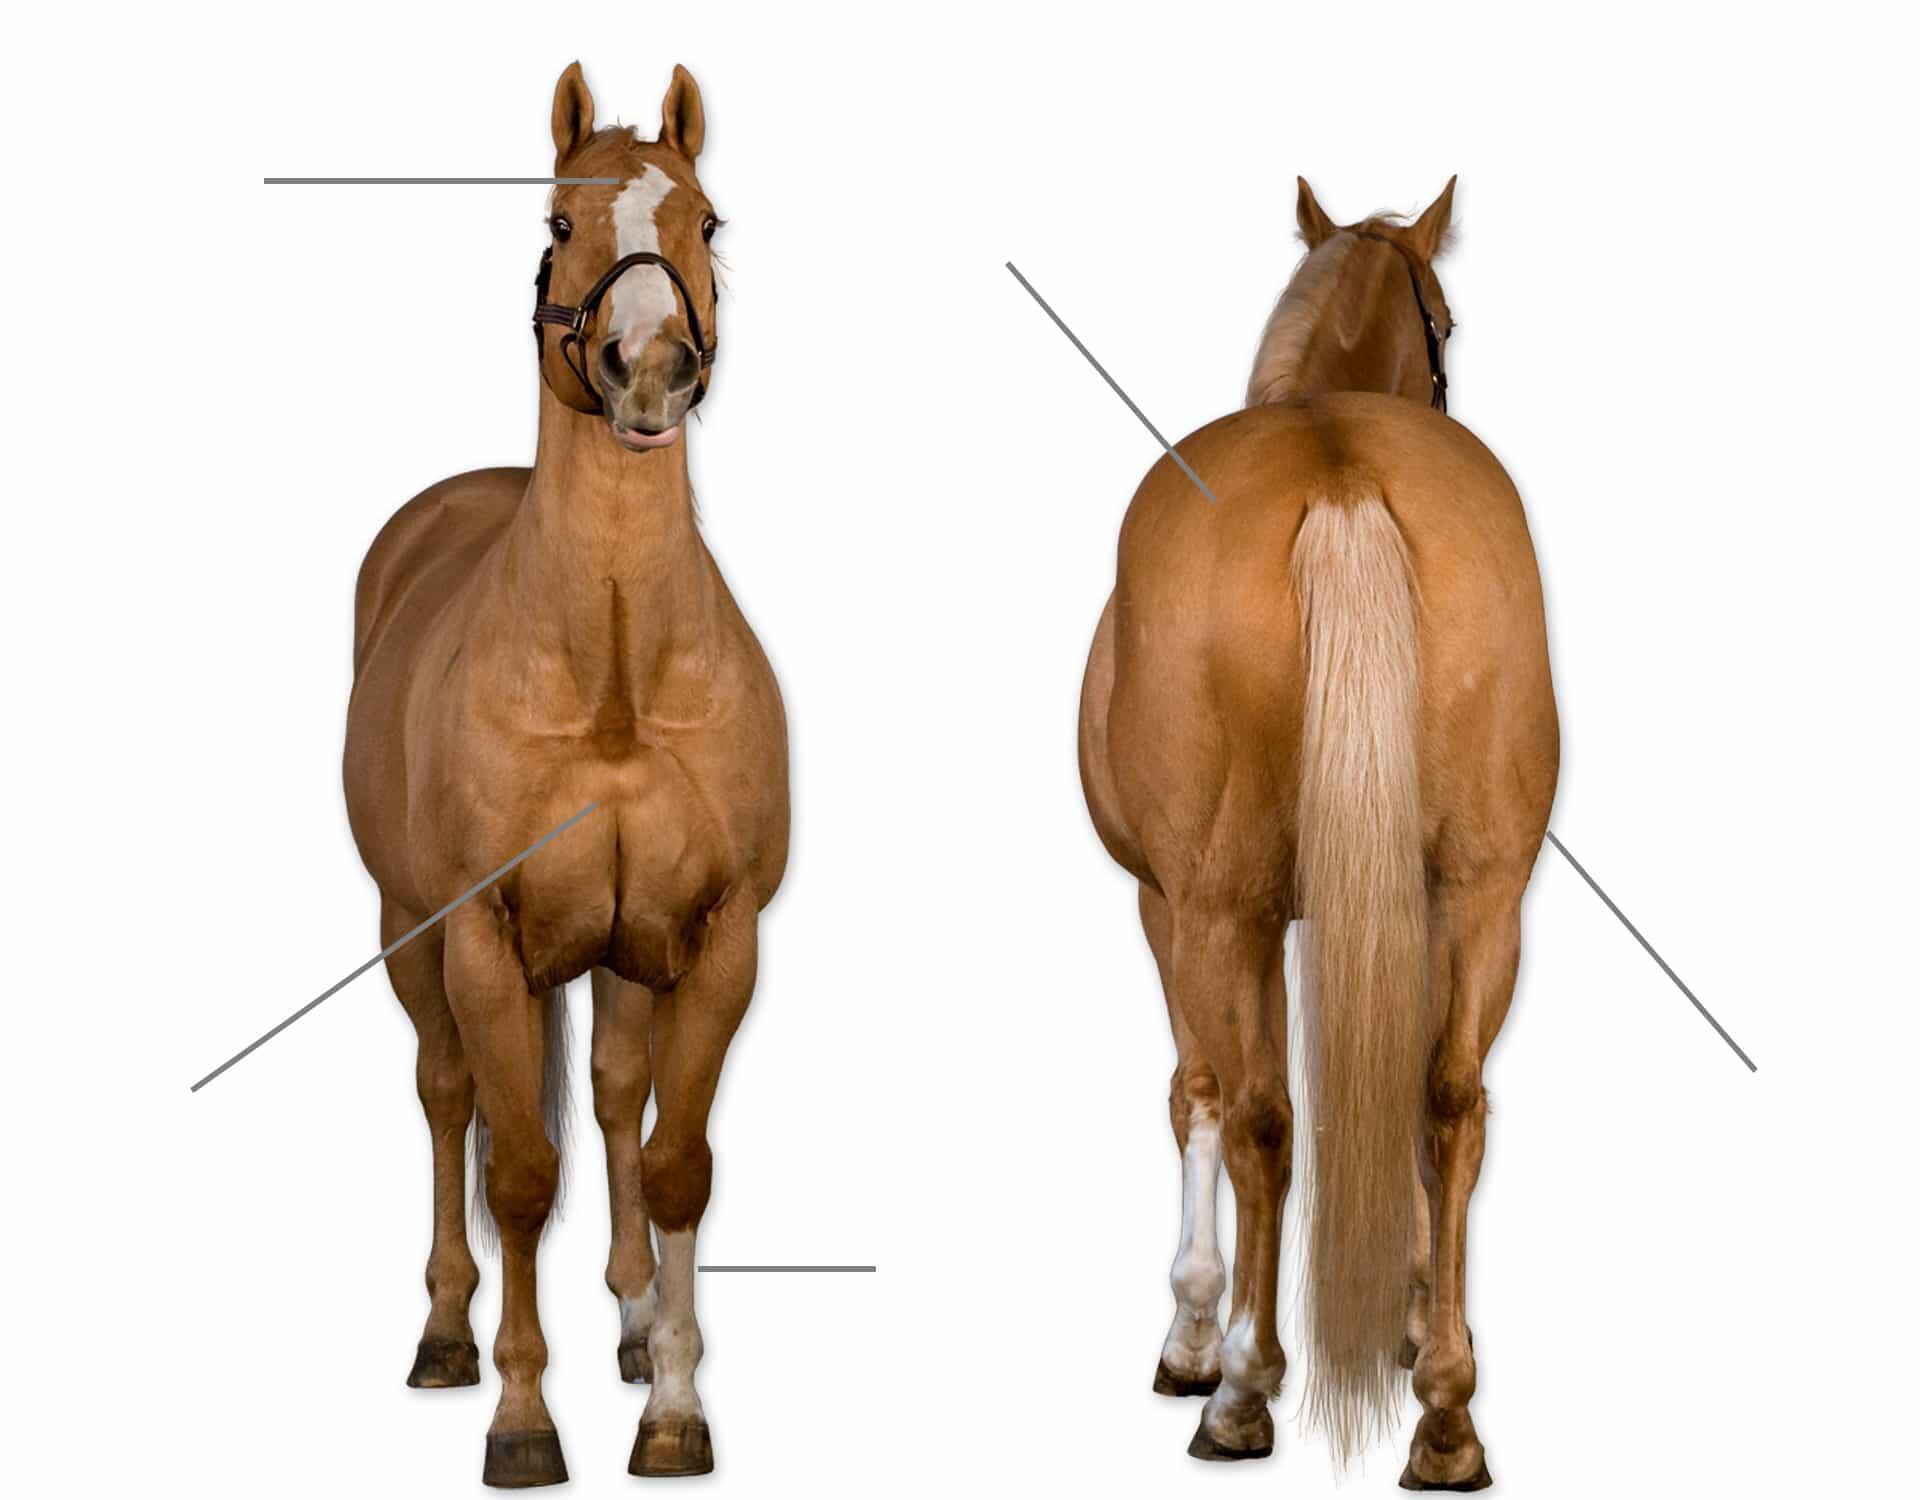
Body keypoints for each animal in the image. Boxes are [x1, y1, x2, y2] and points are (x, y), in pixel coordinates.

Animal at [342, 62, 788, 1486]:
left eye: (707, 221)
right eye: (556, 221)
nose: (650, 369)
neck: (613, 681)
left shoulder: (714, 939)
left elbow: (674, 1159)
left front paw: (677, 1412)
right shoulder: (484, 941)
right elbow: (518, 1175)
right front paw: (523, 1420)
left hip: (614, 955)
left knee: (610, 1101)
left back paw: (637, 1324)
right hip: (415, 934)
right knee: (448, 1106)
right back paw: (445, 1337)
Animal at [1076, 178, 1558, 1488]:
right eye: (1449, 318)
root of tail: (1340, 475)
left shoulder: (1171, 904)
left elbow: (1197, 1094)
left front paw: (1198, 1335)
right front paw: (1413, 1315)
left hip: (1218, 909)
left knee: (1258, 1116)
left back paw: (1243, 1391)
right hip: (1482, 894)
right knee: (1449, 1103)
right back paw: (1446, 1416)